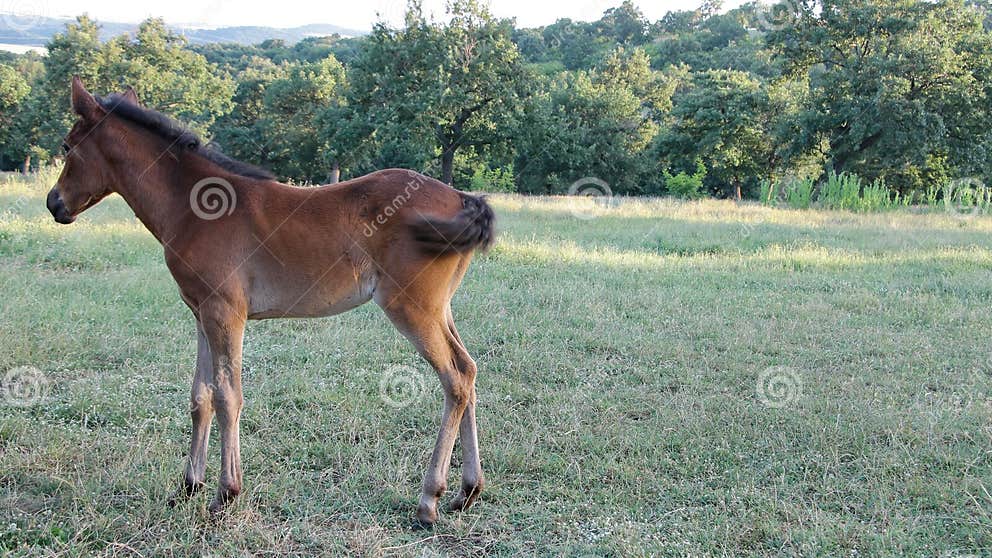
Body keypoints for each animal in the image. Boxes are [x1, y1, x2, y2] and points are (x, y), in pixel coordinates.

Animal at [46, 76, 494, 527]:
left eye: (67, 146)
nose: (53, 203)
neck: (194, 207)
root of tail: (463, 198)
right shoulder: (201, 313)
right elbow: (200, 396)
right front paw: (188, 487)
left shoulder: (225, 312)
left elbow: (228, 396)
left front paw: (225, 494)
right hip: (440, 309)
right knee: (470, 371)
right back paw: (467, 491)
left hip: (411, 307)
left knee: (455, 377)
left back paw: (429, 498)